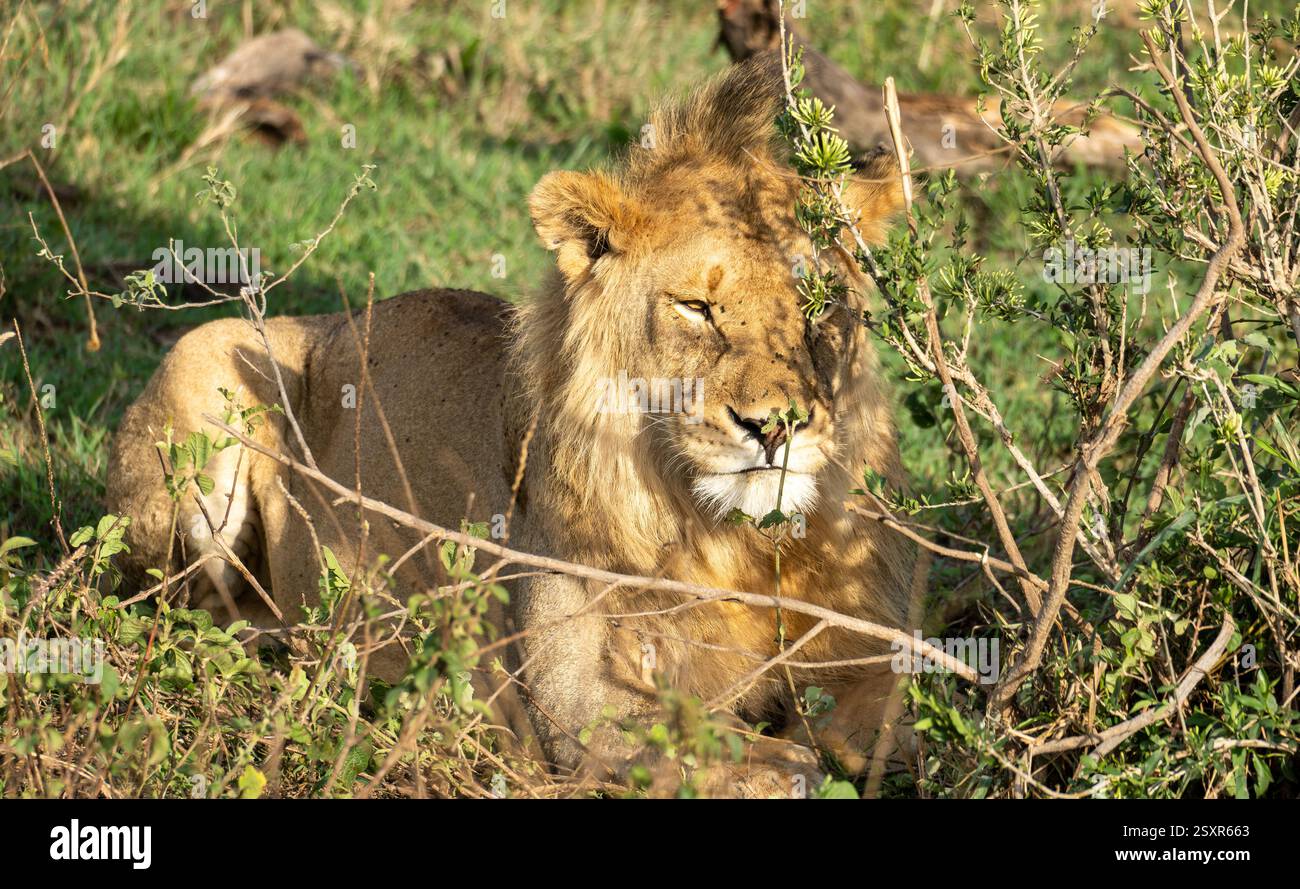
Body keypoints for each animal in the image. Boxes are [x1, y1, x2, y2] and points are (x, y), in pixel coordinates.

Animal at [106, 55, 918, 796]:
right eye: (696, 307)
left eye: (820, 305)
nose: (774, 428)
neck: (737, 544)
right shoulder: (580, 704)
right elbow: (766, 762)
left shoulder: (871, 641)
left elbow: (889, 721)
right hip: (208, 363)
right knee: (181, 607)